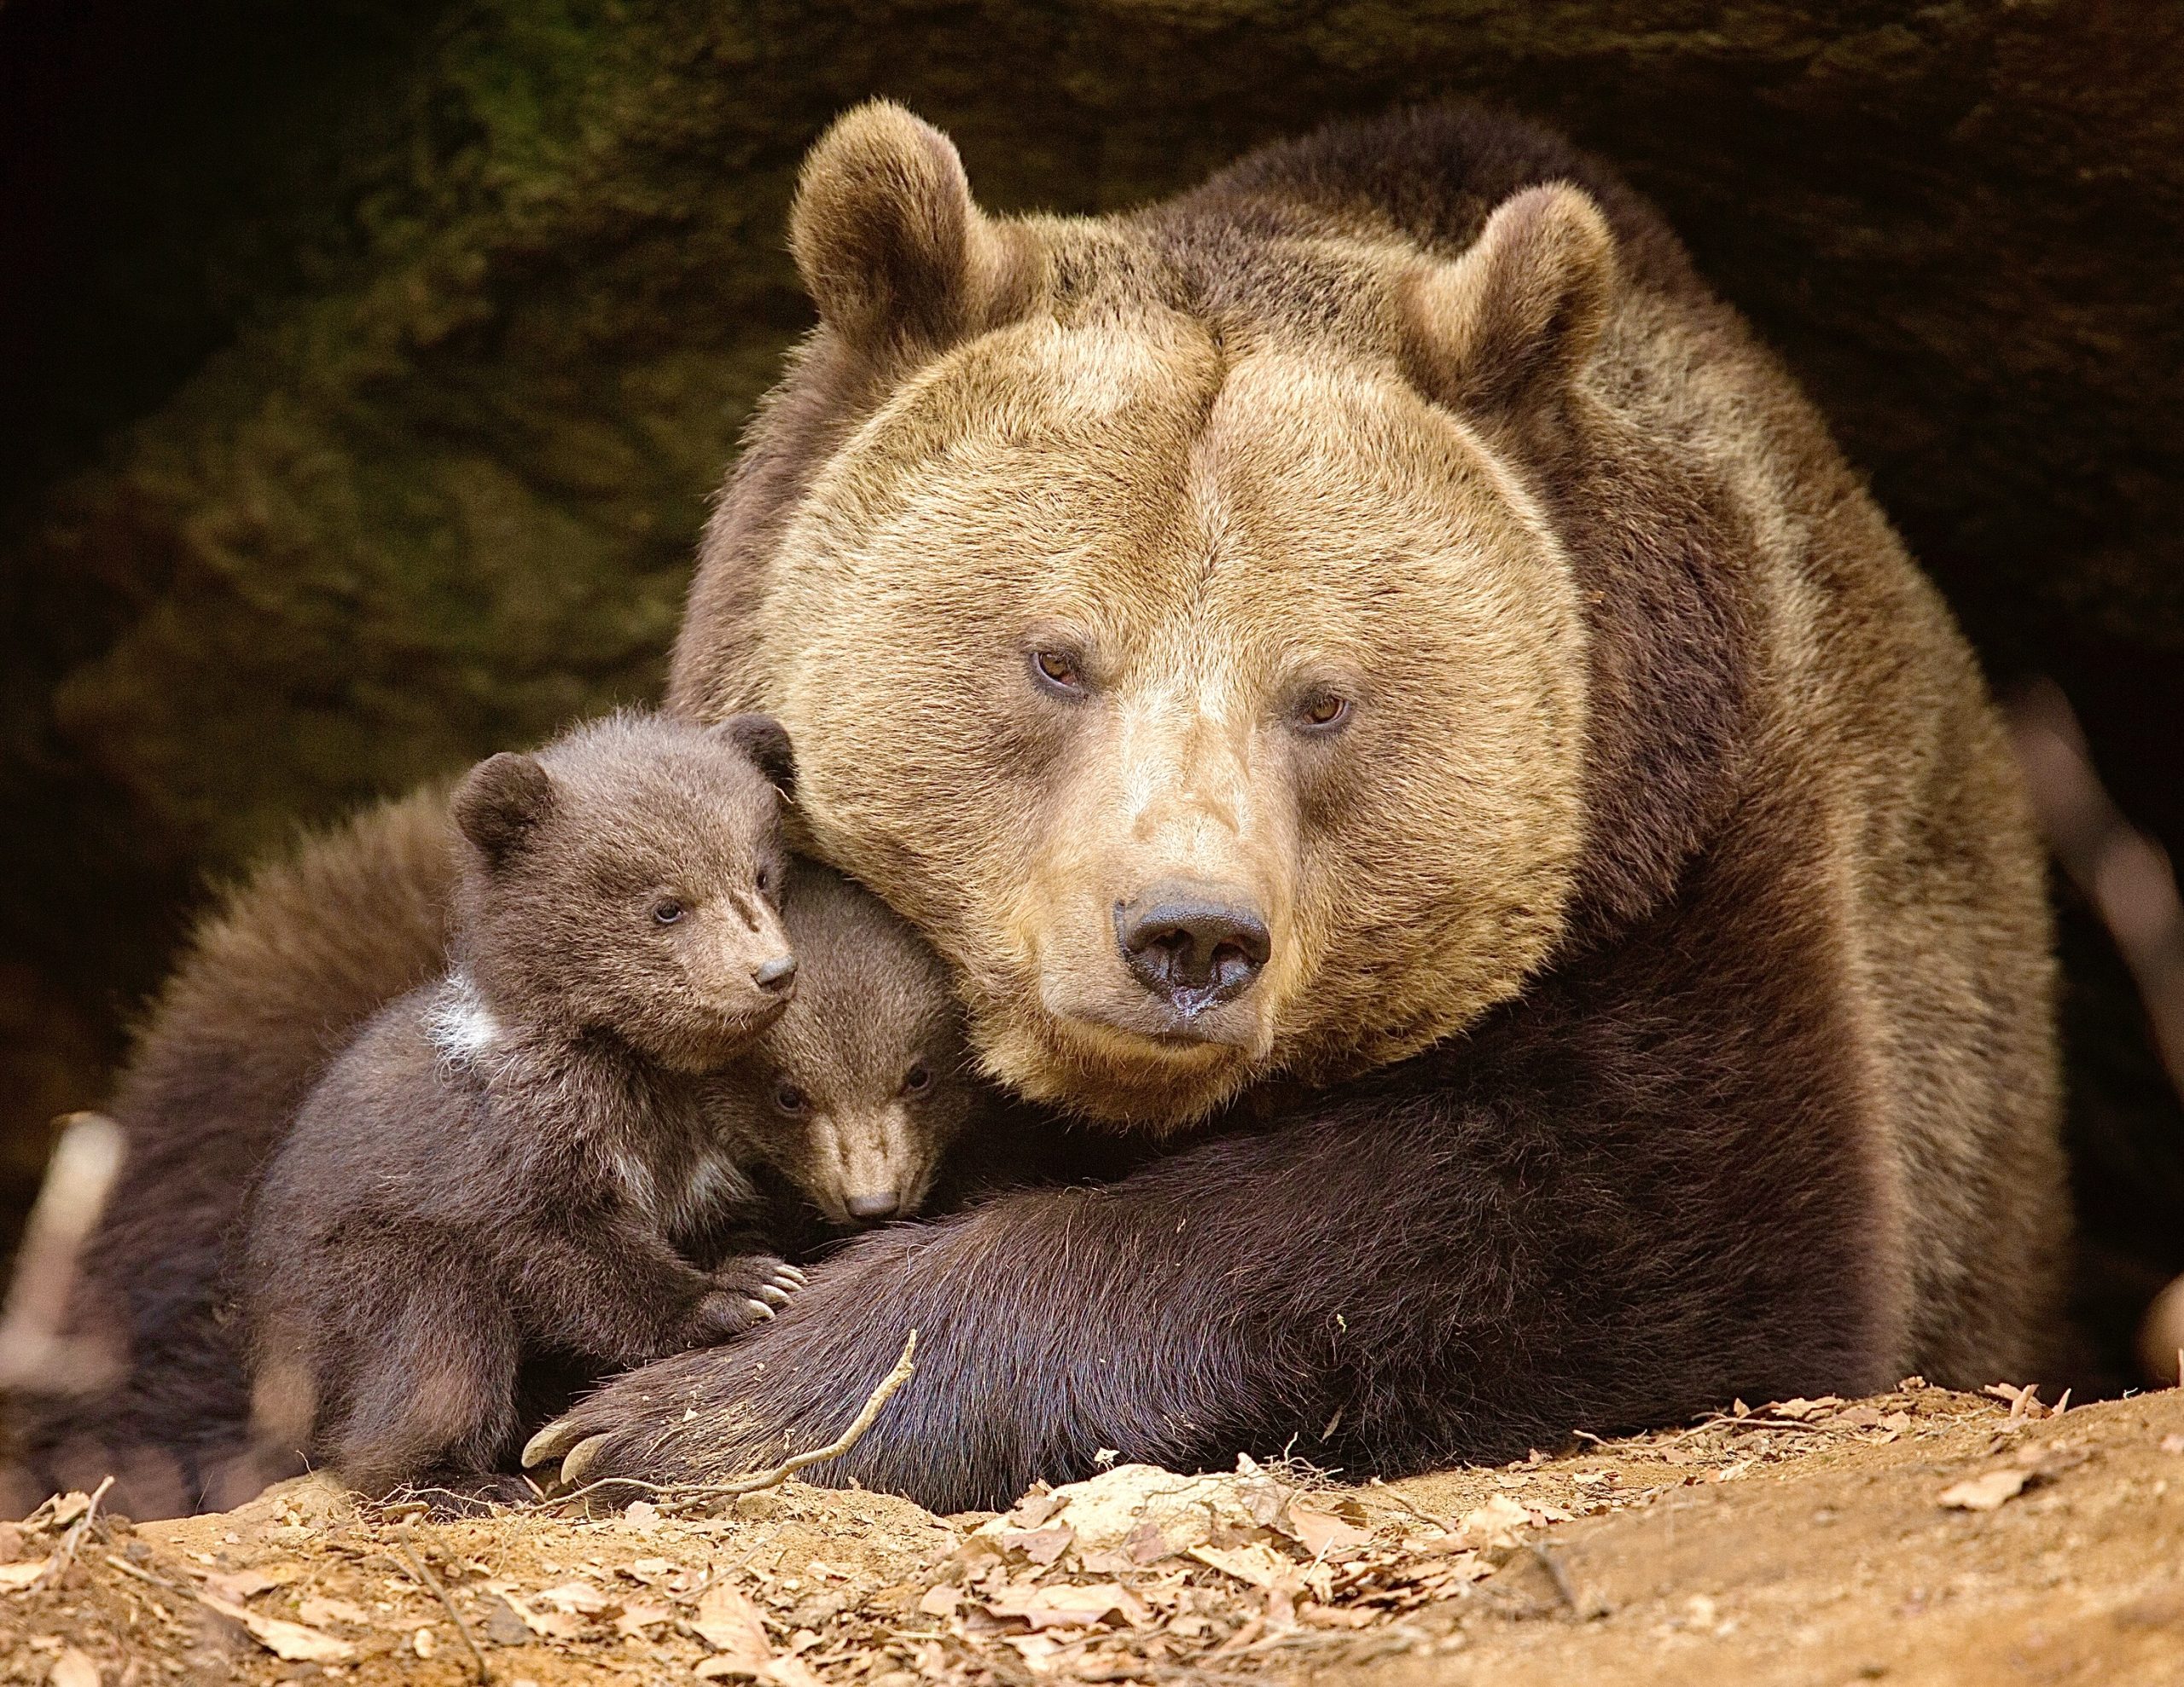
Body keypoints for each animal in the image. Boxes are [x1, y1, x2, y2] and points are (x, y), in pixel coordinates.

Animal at [241, 710, 807, 1501]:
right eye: (666, 905)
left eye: (760, 874)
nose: (771, 971)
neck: (640, 1069)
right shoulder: (510, 1146)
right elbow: (557, 1245)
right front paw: (736, 1292)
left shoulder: (710, 1153)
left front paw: (761, 1267)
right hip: (341, 1286)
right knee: (435, 1331)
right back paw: (460, 1480)